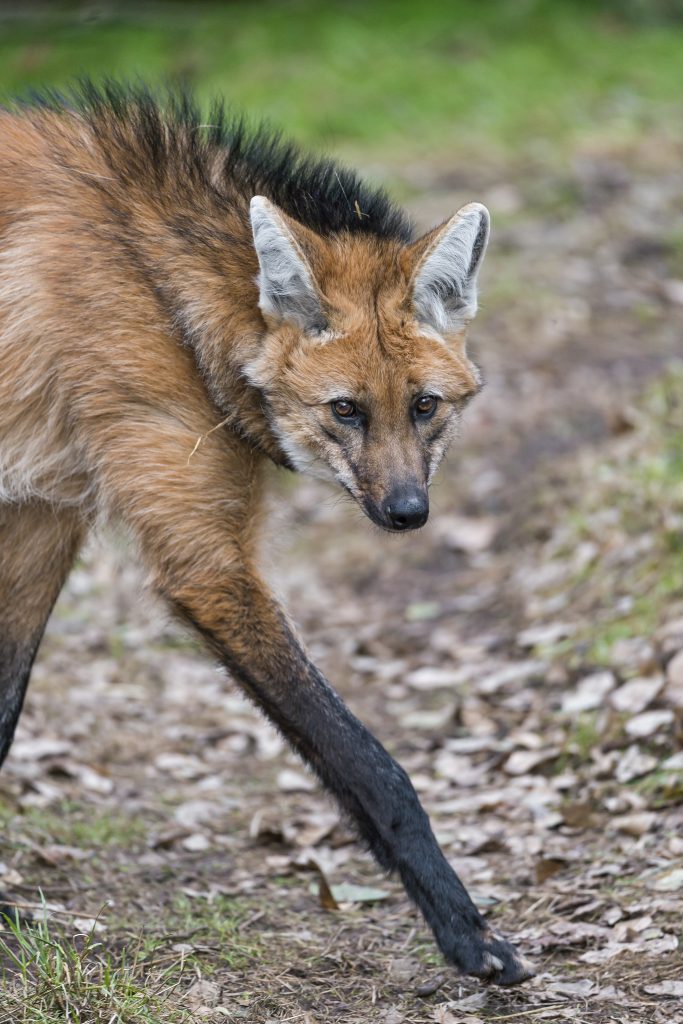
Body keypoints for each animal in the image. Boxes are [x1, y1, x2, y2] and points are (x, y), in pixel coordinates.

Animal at [0, 83, 533, 985]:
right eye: (344, 410)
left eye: (424, 406)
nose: (406, 513)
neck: (167, 295)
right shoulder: (205, 565)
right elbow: (371, 764)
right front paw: (470, 937)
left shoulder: (44, 512)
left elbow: (2, 710)